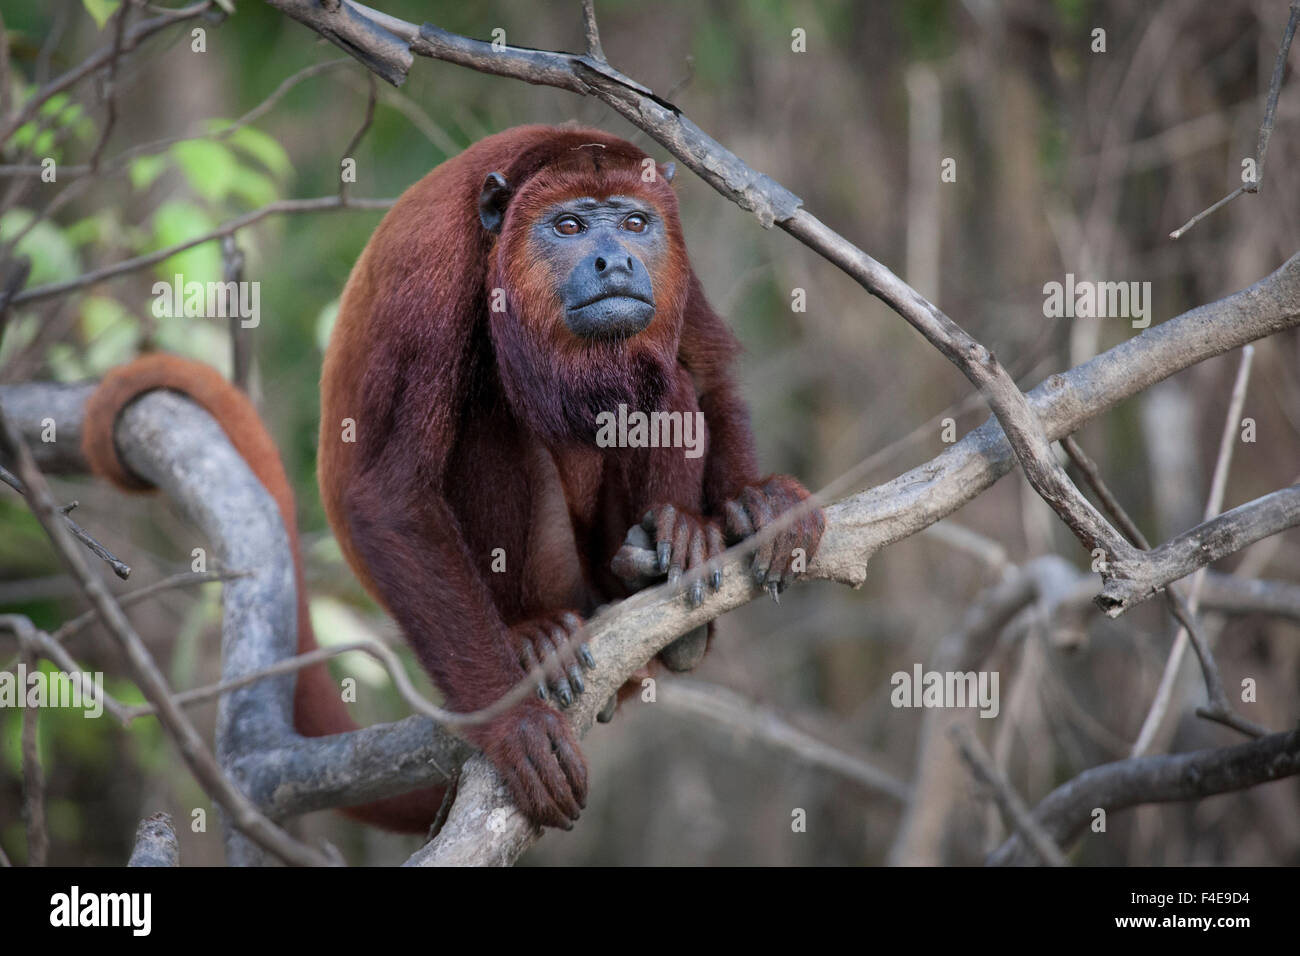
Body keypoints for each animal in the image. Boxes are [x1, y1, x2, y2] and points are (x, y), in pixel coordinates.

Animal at [80, 125, 824, 833]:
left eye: (637, 222)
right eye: (569, 226)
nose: (616, 261)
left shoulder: (676, 273)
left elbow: (710, 371)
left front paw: (755, 501)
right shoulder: (431, 273)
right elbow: (391, 498)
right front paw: (513, 726)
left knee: (663, 380)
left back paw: (668, 552)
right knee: (488, 410)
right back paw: (533, 633)